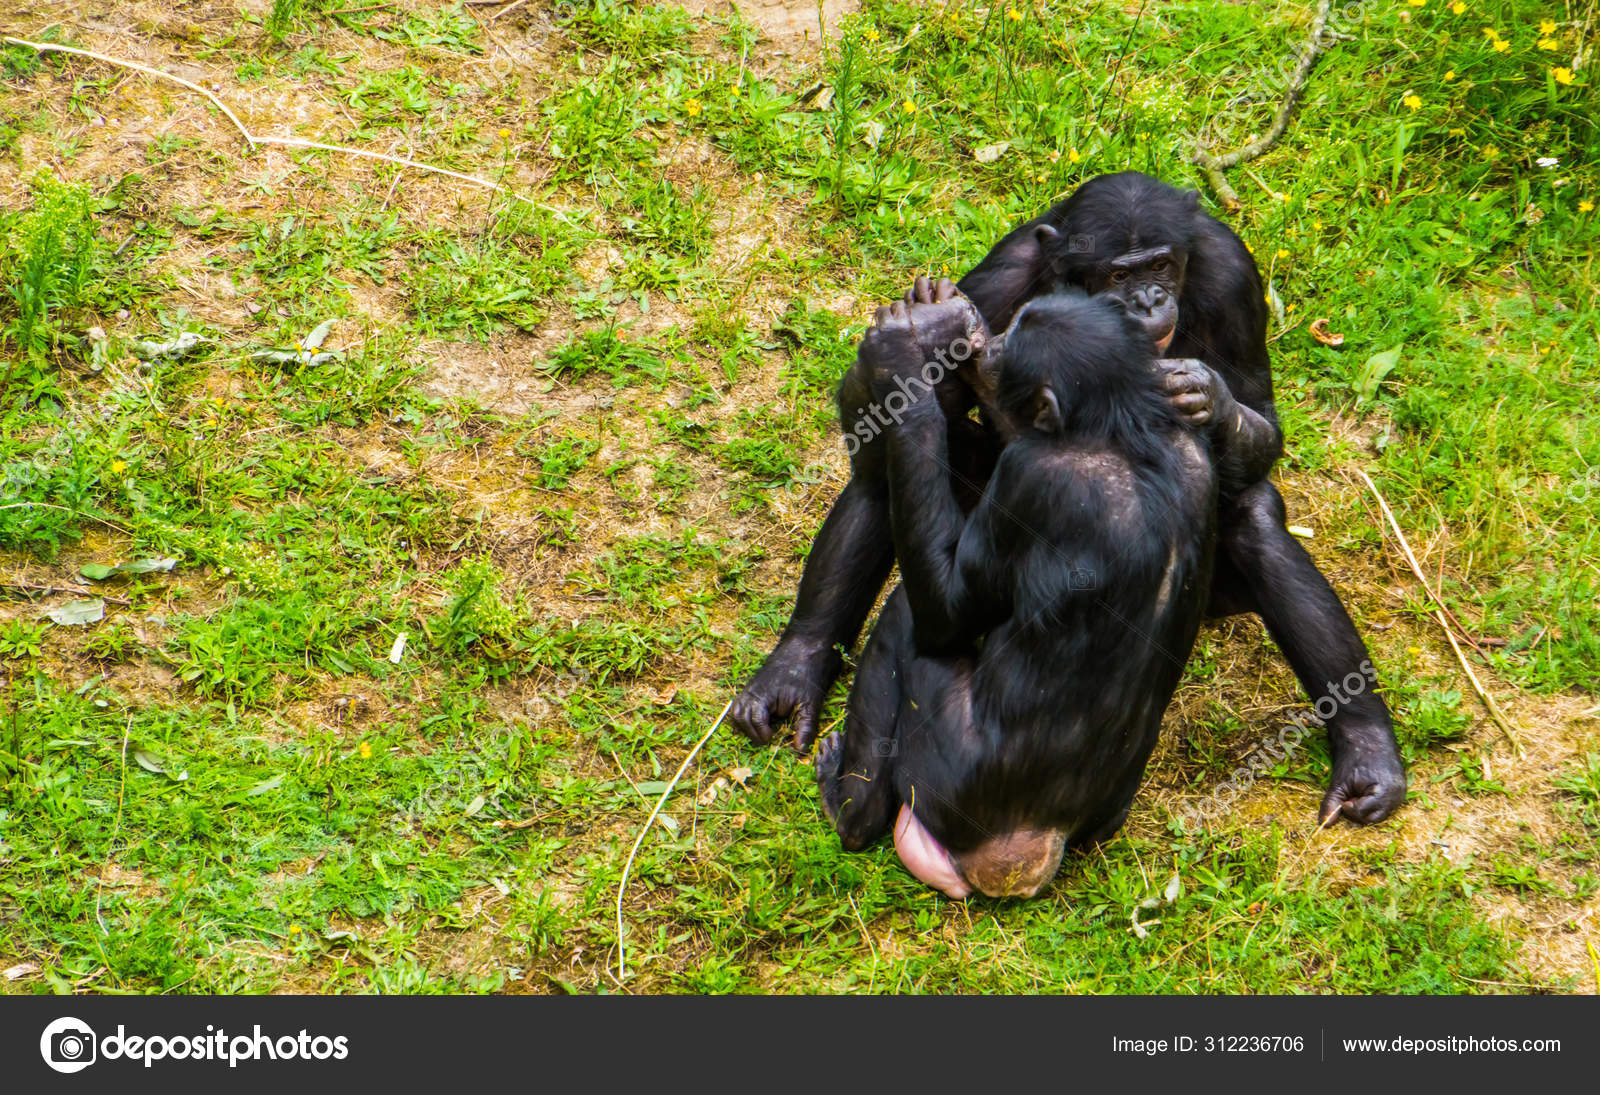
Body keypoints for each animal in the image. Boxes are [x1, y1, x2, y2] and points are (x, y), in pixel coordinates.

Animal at [732, 171, 1408, 826]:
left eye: (1162, 266)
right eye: (1119, 274)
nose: (1149, 299)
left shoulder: (1232, 274)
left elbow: (1256, 405)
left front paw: (1208, 394)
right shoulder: (1003, 276)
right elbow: (907, 403)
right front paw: (920, 338)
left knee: (1255, 520)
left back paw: (1366, 749)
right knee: (888, 469)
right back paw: (796, 667)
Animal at [819, 291, 1216, 896]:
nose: (997, 340)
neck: (1125, 432)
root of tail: (1029, 857)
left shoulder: (1030, 478)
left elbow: (946, 612)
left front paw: (896, 356)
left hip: (938, 778)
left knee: (904, 618)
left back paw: (849, 809)